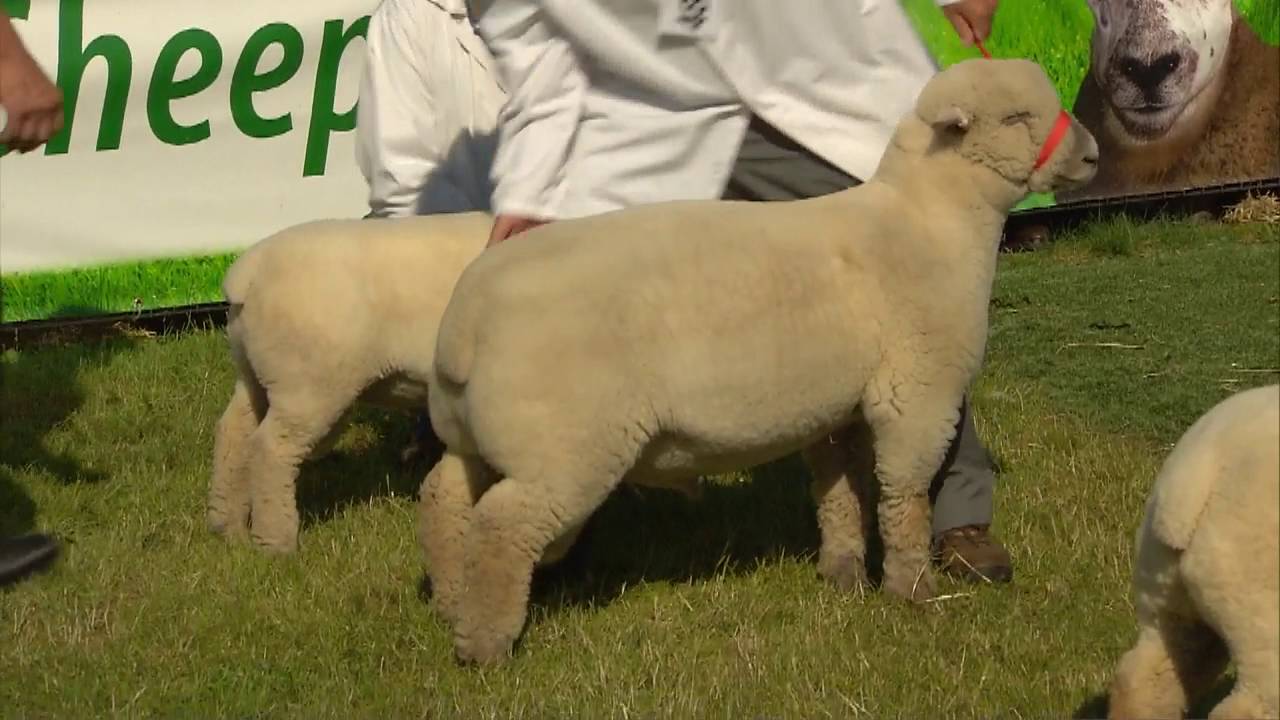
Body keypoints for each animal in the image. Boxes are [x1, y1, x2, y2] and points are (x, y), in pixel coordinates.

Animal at [417, 57, 1102, 665]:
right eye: (1016, 117)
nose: (1093, 154)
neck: (929, 221)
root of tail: (464, 320)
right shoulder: (917, 393)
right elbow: (903, 494)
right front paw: (911, 591)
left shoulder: (835, 407)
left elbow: (838, 489)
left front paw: (843, 573)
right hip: (562, 446)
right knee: (501, 527)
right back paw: (486, 646)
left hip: (477, 433)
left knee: (445, 497)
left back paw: (452, 605)